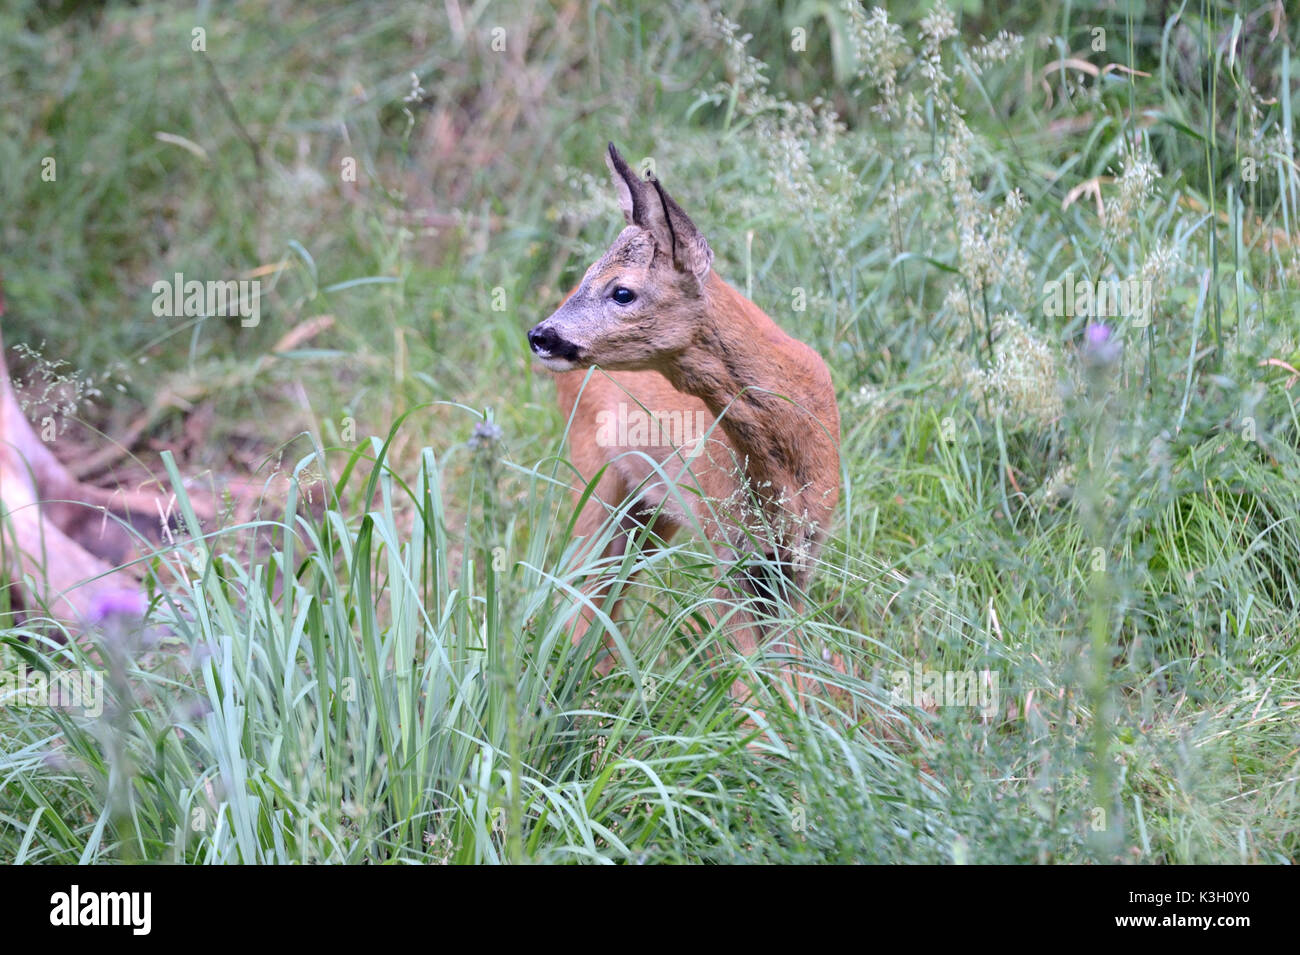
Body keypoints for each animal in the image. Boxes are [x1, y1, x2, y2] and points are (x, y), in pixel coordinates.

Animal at [527, 143, 841, 700]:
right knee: (582, 590)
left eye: (622, 292)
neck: (783, 459)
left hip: (653, 509)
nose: (541, 335)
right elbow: (748, 675)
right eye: (588, 276)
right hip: (593, 472)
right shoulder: (725, 541)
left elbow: (792, 668)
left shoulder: (801, 548)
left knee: (607, 593)